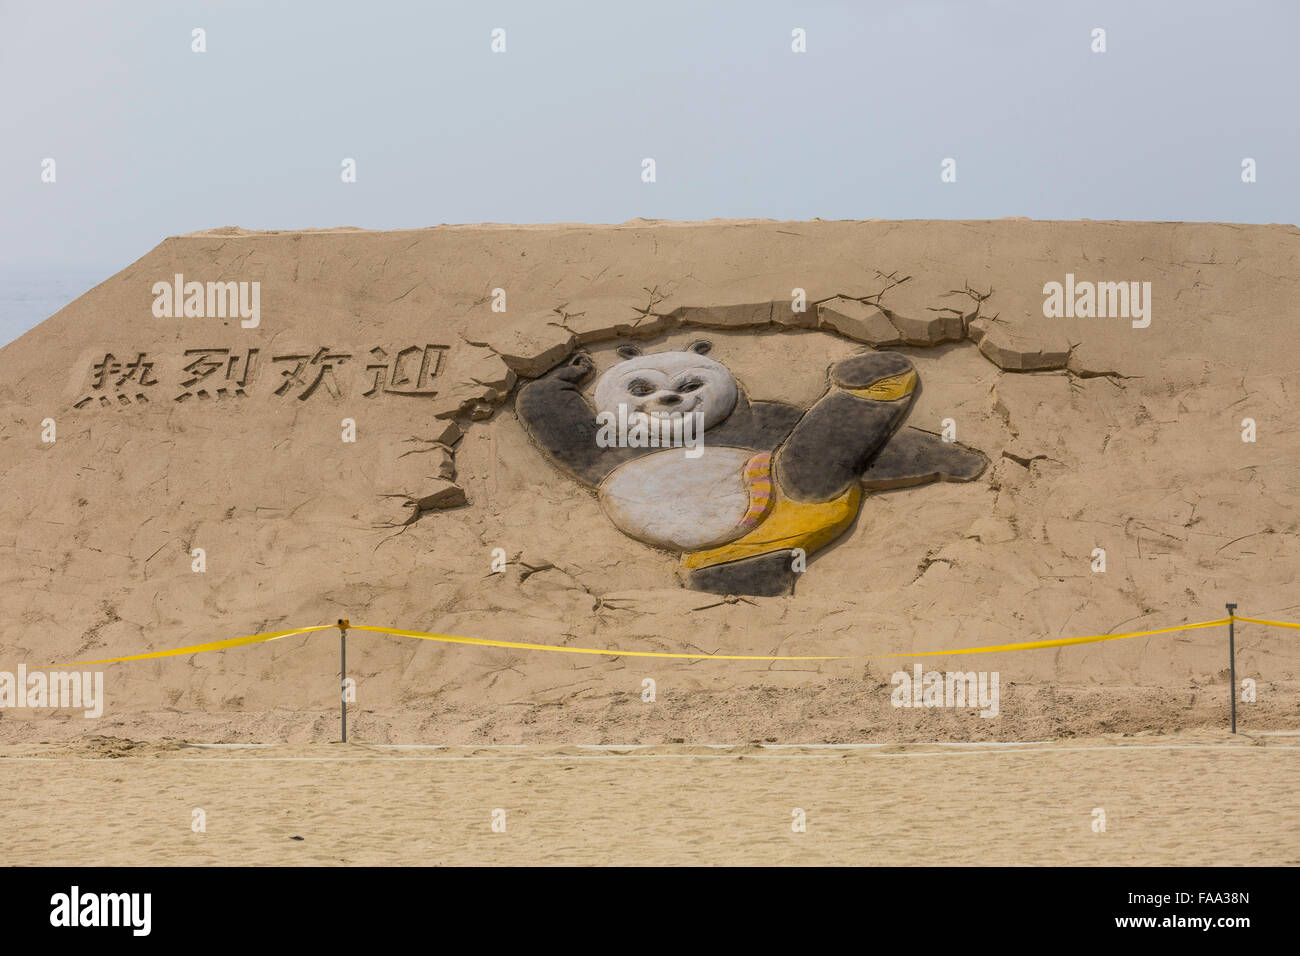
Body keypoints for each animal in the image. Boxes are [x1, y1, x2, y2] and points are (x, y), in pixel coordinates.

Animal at [516, 340, 986, 596]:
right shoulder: (604, 449)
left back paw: (871, 379)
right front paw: (569, 370)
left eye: (691, 384)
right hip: (739, 551)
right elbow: (562, 426)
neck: (684, 437)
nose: (669, 401)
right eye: (641, 387)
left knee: (819, 449)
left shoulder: (766, 421)